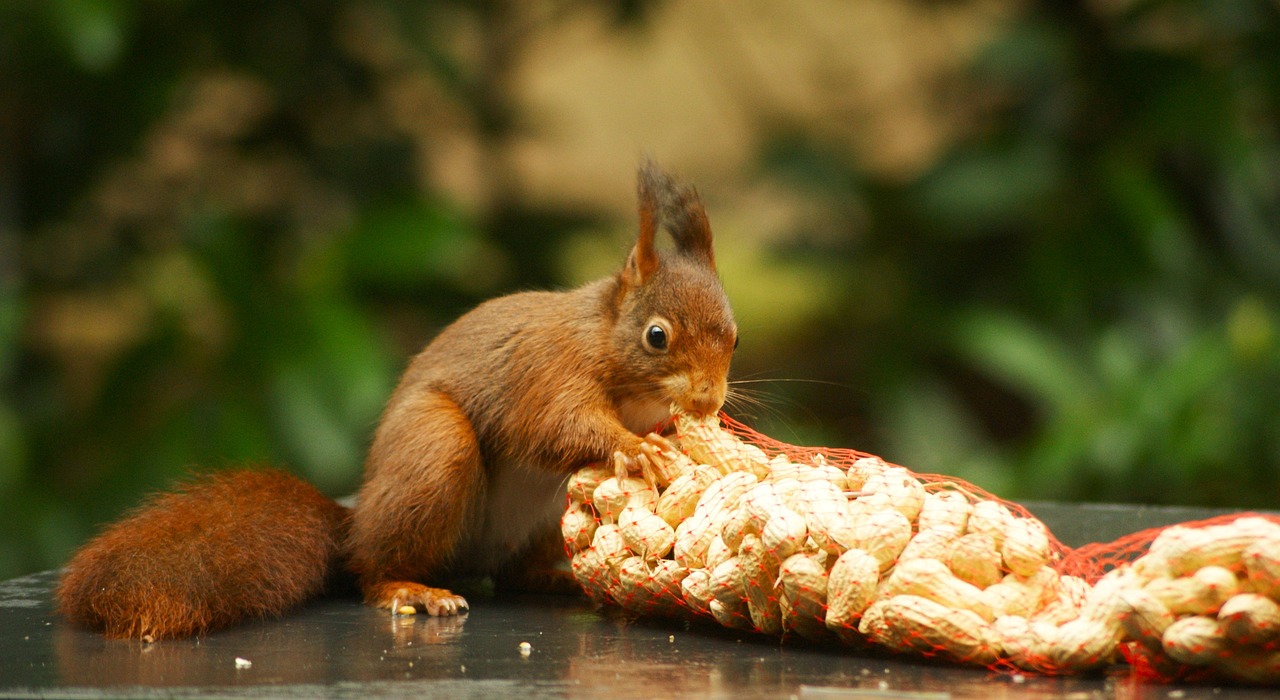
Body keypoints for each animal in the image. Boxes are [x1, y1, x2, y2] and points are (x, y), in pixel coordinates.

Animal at [55, 161, 738, 640]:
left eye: (734, 335)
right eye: (656, 337)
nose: (708, 402)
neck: (604, 338)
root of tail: (351, 527)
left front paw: (682, 441)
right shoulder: (549, 370)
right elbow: (555, 425)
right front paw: (634, 447)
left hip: (542, 522)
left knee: (512, 572)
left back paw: (554, 580)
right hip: (433, 452)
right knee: (376, 566)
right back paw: (408, 589)